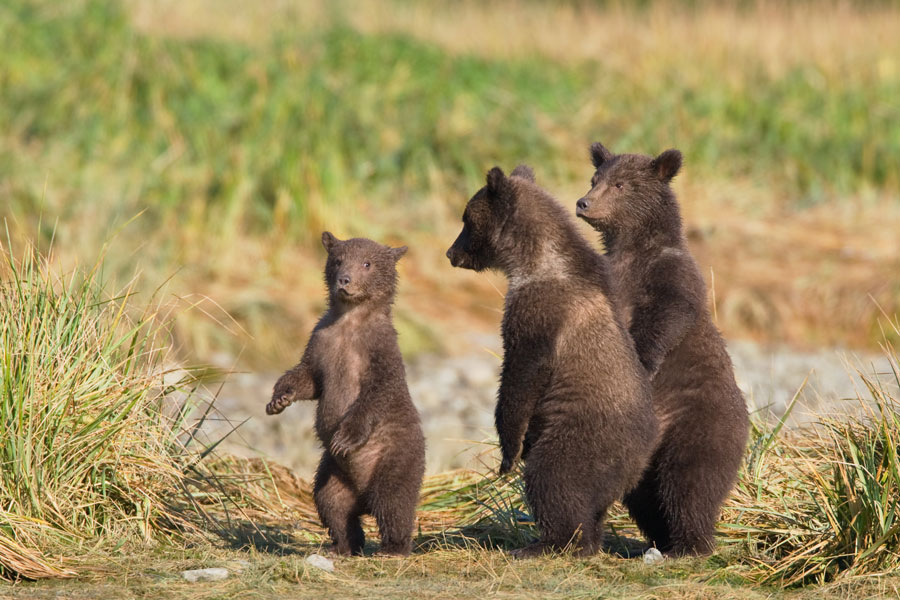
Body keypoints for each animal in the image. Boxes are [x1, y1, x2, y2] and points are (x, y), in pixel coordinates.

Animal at [266, 232, 425, 557]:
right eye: (338, 260)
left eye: (367, 263)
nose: (345, 280)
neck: (351, 320)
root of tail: (363, 497)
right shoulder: (321, 340)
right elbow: (308, 379)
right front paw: (279, 399)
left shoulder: (378, 350)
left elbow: (378, 392)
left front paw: (344, 437)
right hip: (333, 472)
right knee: (332, 503)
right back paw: (342, 545)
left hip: (396, 456)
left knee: (394, 501)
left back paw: (393, 547)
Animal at [446, 165, 657, 558]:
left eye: (467, 220)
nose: (451, 252)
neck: (534, 261)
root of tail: (638, 462)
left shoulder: (537, 312)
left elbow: (521, 375)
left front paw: (508, 452)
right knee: (590, 505)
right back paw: (584, 540)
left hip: (584, 436)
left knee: (552, 478)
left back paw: (547, 542)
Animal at [575, 142, 750, 556]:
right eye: (594, 178)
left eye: (621, 184)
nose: (583, 203)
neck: (632, 250)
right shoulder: (606, 278)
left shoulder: (669, 276)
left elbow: (669, 314)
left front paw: (643, 359)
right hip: (642, 448)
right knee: (644, 494)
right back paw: (661, 538)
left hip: (701, 421)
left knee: (689, 482)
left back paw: (691, 543)